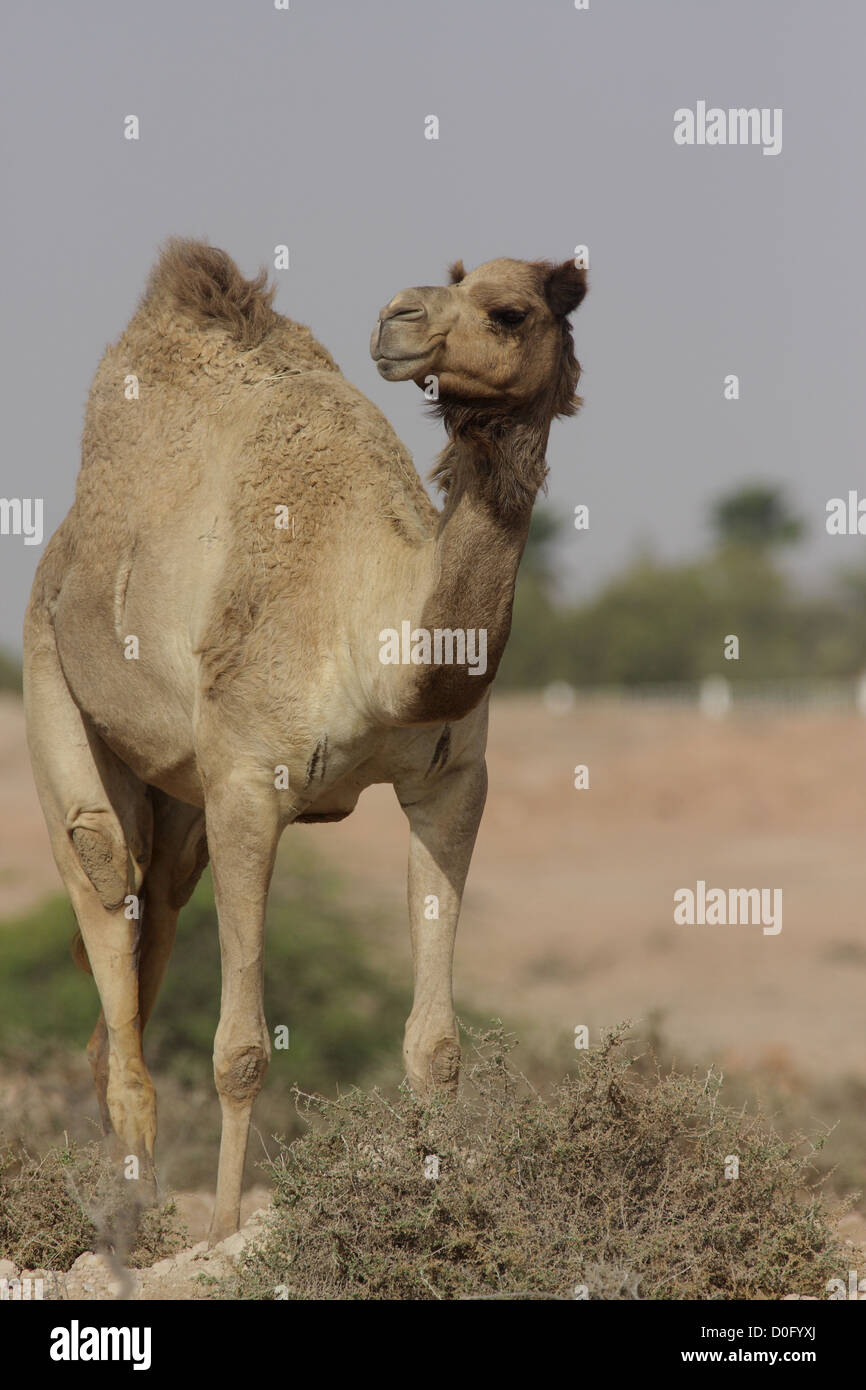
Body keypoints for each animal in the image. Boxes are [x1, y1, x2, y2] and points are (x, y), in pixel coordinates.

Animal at [23, 240, 587, 1242]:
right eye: (459, 284)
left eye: (511, 310)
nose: (399, 319)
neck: (374, 629)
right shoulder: (249, 783)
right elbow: (242, 1049)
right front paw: (222, 1233)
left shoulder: (452, 783)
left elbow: (436, 1047)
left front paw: (439, 1207)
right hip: (51, 678)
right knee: (103, 872)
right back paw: (146, 1227)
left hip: (182, 801)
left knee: (150, 921)